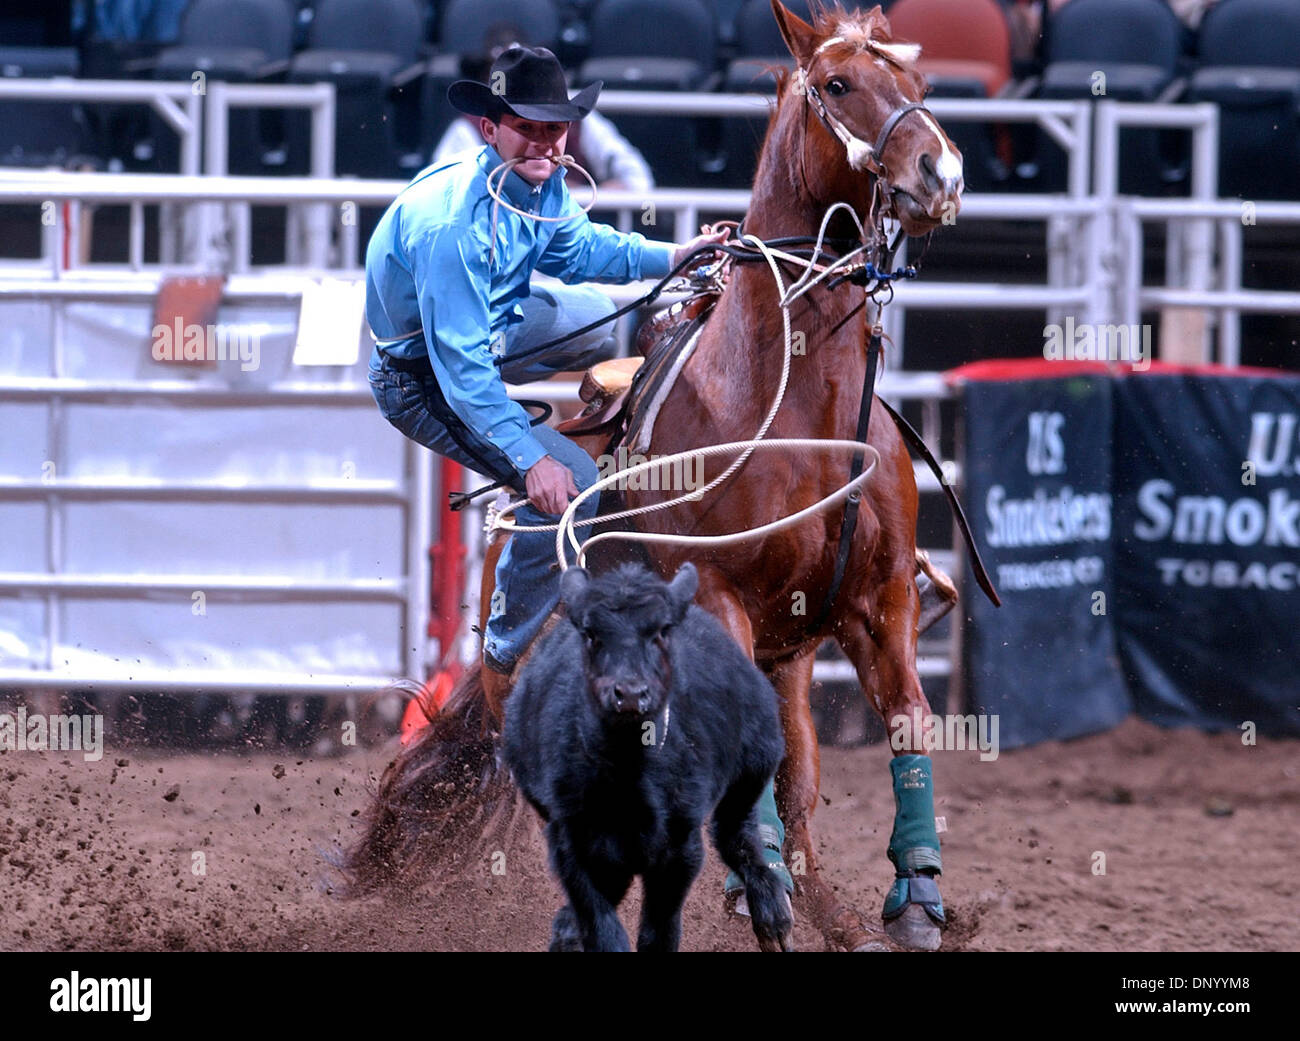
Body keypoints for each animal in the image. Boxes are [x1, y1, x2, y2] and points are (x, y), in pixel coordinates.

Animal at [502, 561, 794, 952]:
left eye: (661, 632)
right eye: (591, 635)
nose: (629, 693)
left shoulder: (680, 852)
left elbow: (659, 931)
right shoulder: (572, 845)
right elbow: (601, 926)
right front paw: (571, 932)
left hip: (756, 761)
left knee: (737, 836)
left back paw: (772, 914)